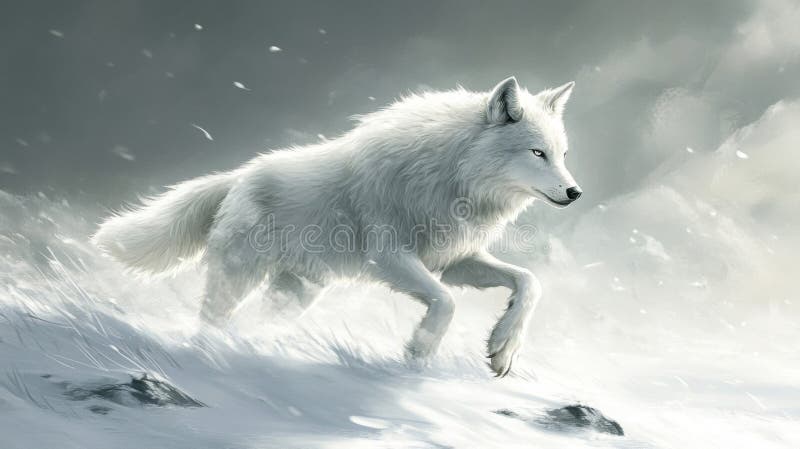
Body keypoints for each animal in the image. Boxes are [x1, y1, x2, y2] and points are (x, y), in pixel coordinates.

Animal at [93, 77, 582, 376]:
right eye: (537, 153)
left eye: (562, 154)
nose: (575, 193)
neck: (452, 173)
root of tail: (239, 175)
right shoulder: (390, 257)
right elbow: (445, 303)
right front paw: (418, 354)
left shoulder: (456, 260)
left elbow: (529, 281)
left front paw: (503, 347)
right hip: (240, 277)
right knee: (210, 321)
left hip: (297, 293)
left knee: (253, 323)